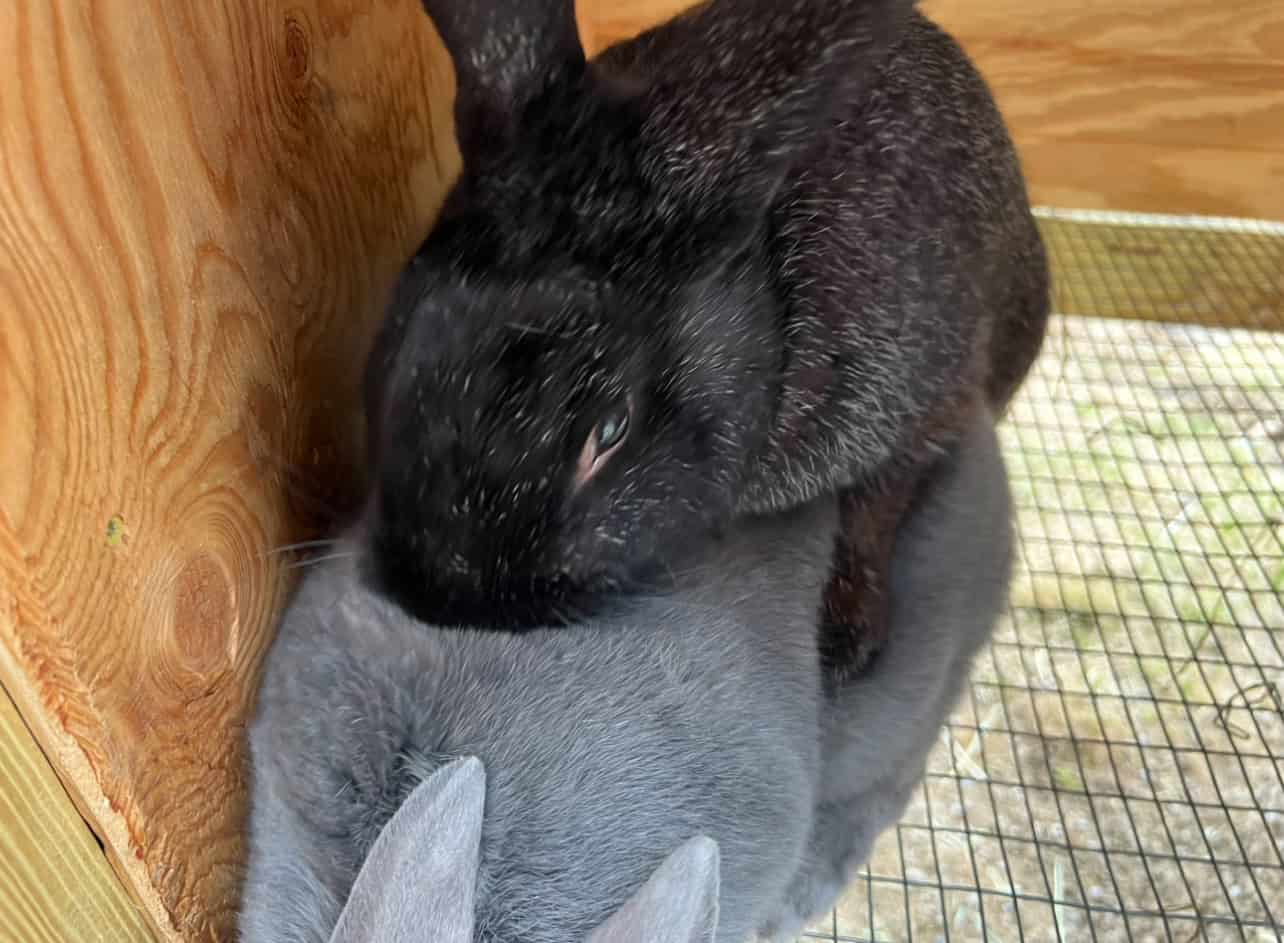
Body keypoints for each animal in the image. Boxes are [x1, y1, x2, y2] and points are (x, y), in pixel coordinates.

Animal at [359, 0, 1047, 679]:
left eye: (610, 429)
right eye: (401, 331)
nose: (450, 602)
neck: (774, 291)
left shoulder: (925, 406)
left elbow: (872, 512)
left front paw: (843, 639)